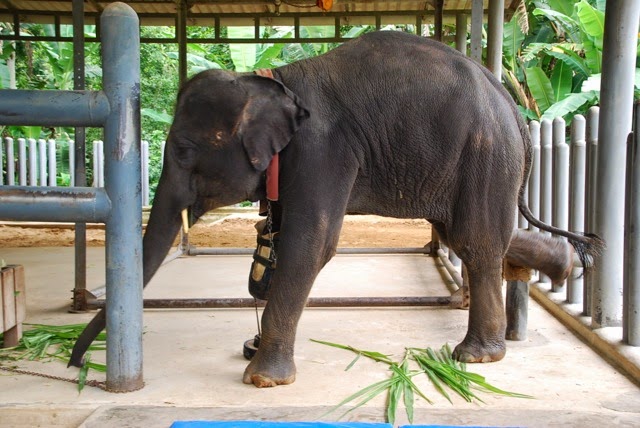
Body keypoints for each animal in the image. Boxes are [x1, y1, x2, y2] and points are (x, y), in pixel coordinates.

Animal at [69, 30, 603, 387]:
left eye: (182, 151)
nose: (75, 366)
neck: (270, 82)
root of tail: (513, 105)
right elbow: (283, 242)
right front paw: (253, 350)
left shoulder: (321, 150)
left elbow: (312, 244)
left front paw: (262, 379)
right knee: (470, 234)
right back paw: (568, 265)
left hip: (485, 153)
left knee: (474, 241)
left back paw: (475, 358)